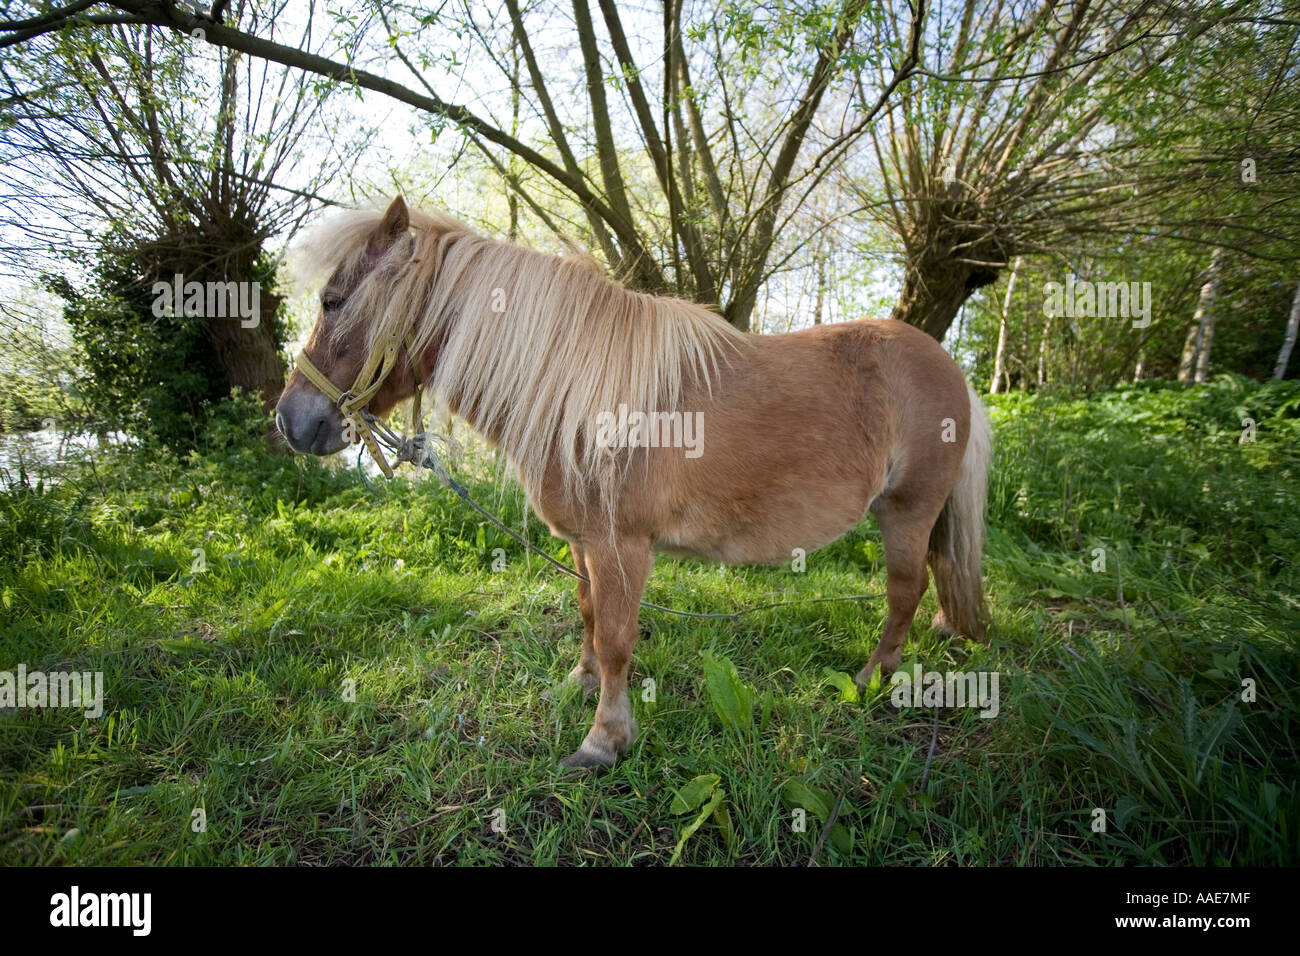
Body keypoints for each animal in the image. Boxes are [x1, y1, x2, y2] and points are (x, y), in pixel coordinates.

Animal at [275, 196, 993, 768]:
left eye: (332, 301)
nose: (290, 421)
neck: (576, 390)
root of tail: (950, 367)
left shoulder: (622, 547)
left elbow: (619, 639)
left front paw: (603, 741)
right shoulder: (583, 544)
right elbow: (590, 616)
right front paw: (580, 684)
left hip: (906, 510)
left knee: (903, 591)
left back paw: (873, 680)